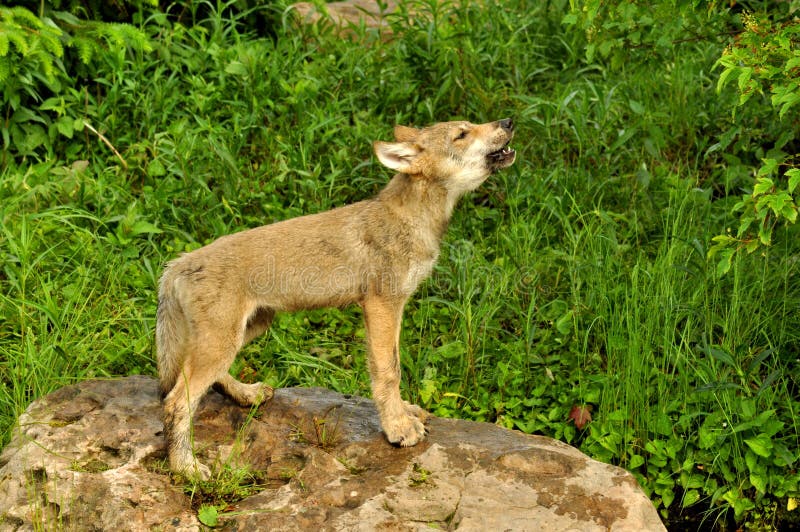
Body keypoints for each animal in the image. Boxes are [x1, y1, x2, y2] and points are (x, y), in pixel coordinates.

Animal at [156, 118, 516, 478]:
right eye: (462, 133)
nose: (508, 122)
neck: (414, 219)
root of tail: (175, 266)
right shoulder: (382, 306)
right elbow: (389, 372)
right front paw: (398, 428)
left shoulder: (392, 308)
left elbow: (393, 370)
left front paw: (405, 412)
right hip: (224, 342)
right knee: (175, 402)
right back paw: (185, 467)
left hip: (248, 330)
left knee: (200, 380)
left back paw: (248, 394)